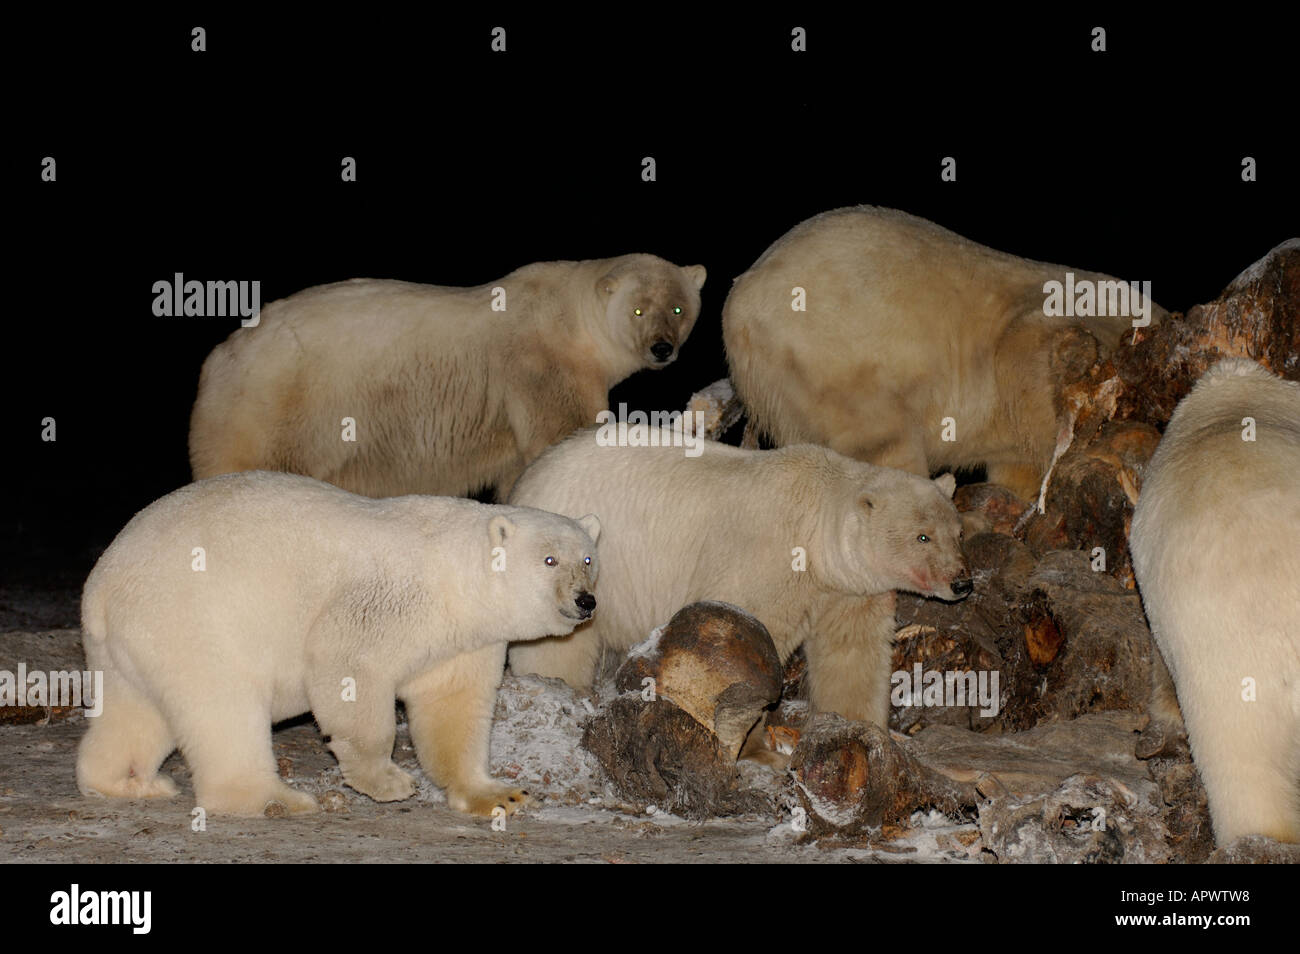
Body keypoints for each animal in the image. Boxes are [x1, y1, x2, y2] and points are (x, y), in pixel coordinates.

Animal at [75, 470, 601, 817]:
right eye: (550, 560)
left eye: (588, 558)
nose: (585, 601)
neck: (454, 575)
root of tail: (101, 586)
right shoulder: (390, 597)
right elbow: (348, 663)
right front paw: (386, 780)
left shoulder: (462, 638)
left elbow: (453, 706)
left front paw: (500, 794)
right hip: (192, 615)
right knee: (223, 707)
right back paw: (275, 798)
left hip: (134, 641)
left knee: (135, 713)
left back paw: (127, 781)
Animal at [189, 254, 706, 500]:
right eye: (639, 309)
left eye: (678, 308)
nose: (662, 348)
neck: (572, 318)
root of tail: (218, 358)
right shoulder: (542, 366)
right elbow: (561, 433)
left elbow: (517, 471)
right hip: (271, 408)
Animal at [506, 427, 971, 746]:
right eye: (922, 536)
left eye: (957, 533)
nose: (962, 582)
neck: (815, 530)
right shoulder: (767, 560)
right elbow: (742, 640)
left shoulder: (849, 590)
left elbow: (852, 655)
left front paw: (862, 729)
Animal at [722, 206, 1168, 501]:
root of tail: (740, 310)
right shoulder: (1047, 315)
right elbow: (1033, 356)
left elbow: (1016, 465)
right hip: (834, 356)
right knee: (882, 438)